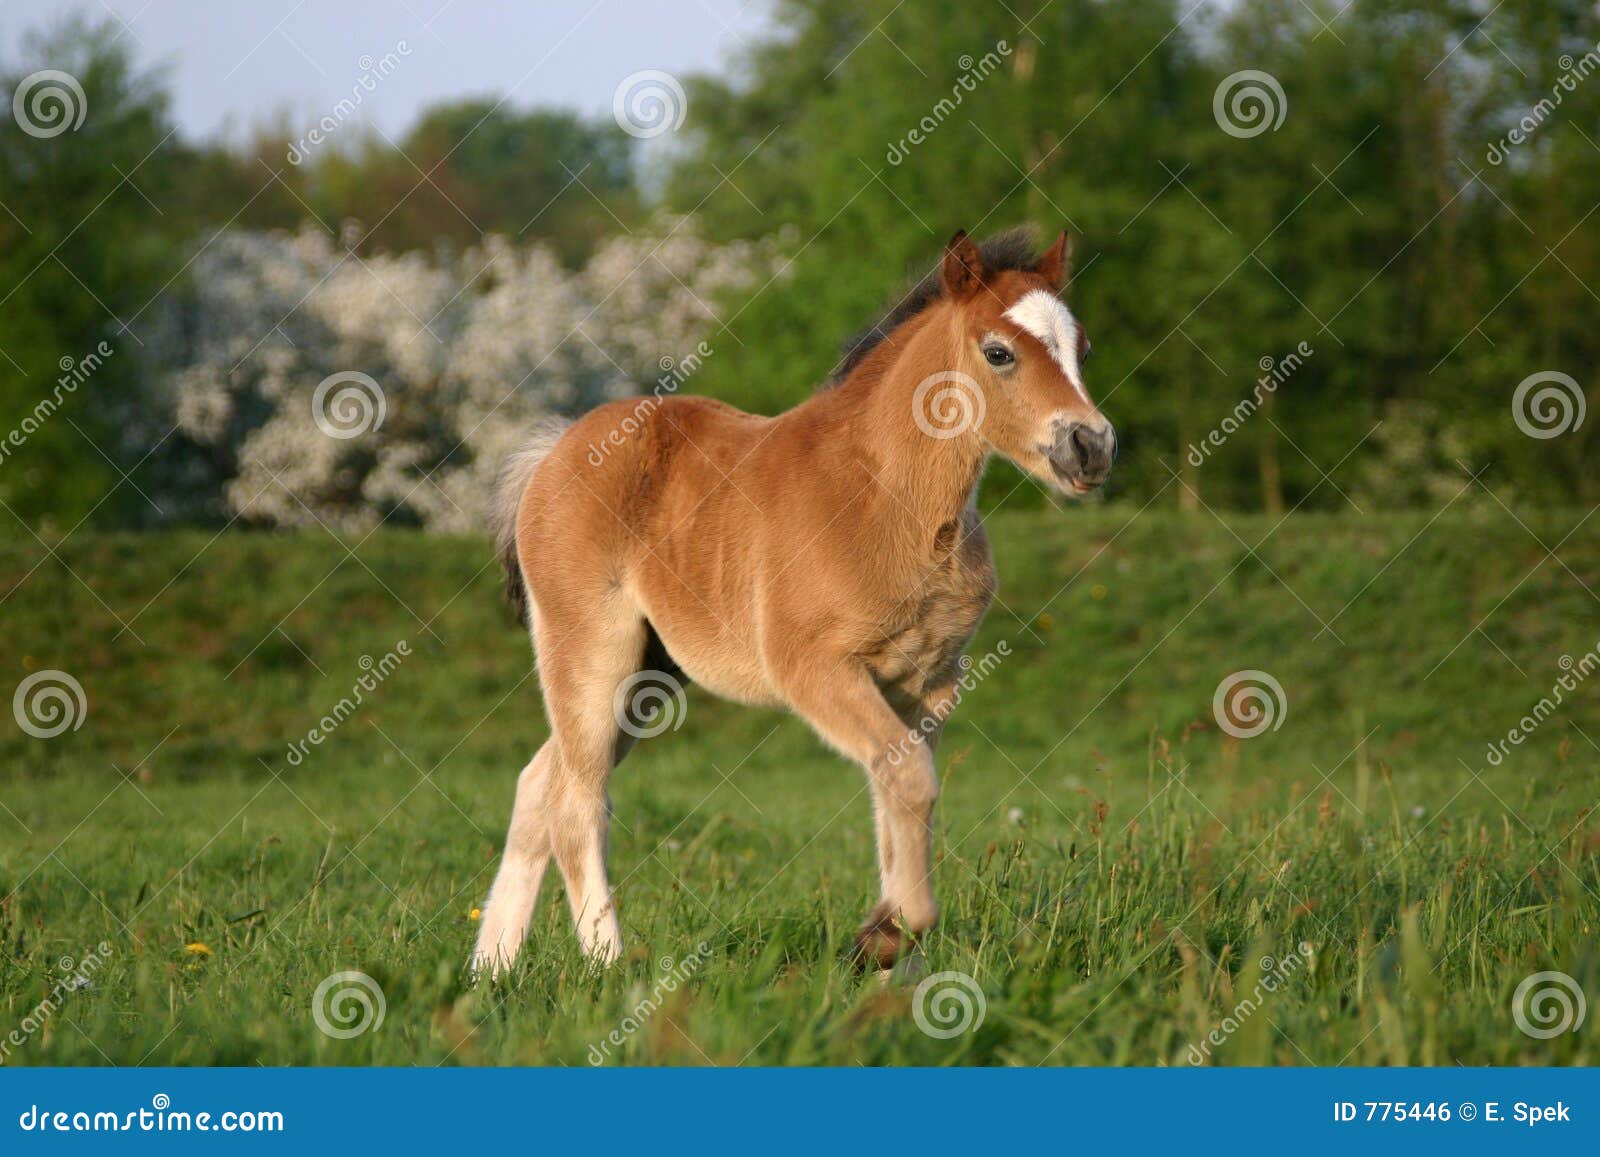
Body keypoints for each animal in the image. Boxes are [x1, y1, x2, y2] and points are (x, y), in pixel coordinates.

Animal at [471, 226, 1116, 975]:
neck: (885, 498)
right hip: (592, 652)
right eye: (999, 352)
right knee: (577, 801)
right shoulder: (815, 669)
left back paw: (491, 968)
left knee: (538, 783)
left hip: (649, 674)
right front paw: (888, 937)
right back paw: (609, 963)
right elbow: (910, 780)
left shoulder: (928, 684)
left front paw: (893, 955)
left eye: (1083, 348)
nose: (1090, 445)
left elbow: (900, 790)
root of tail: (553, 451)